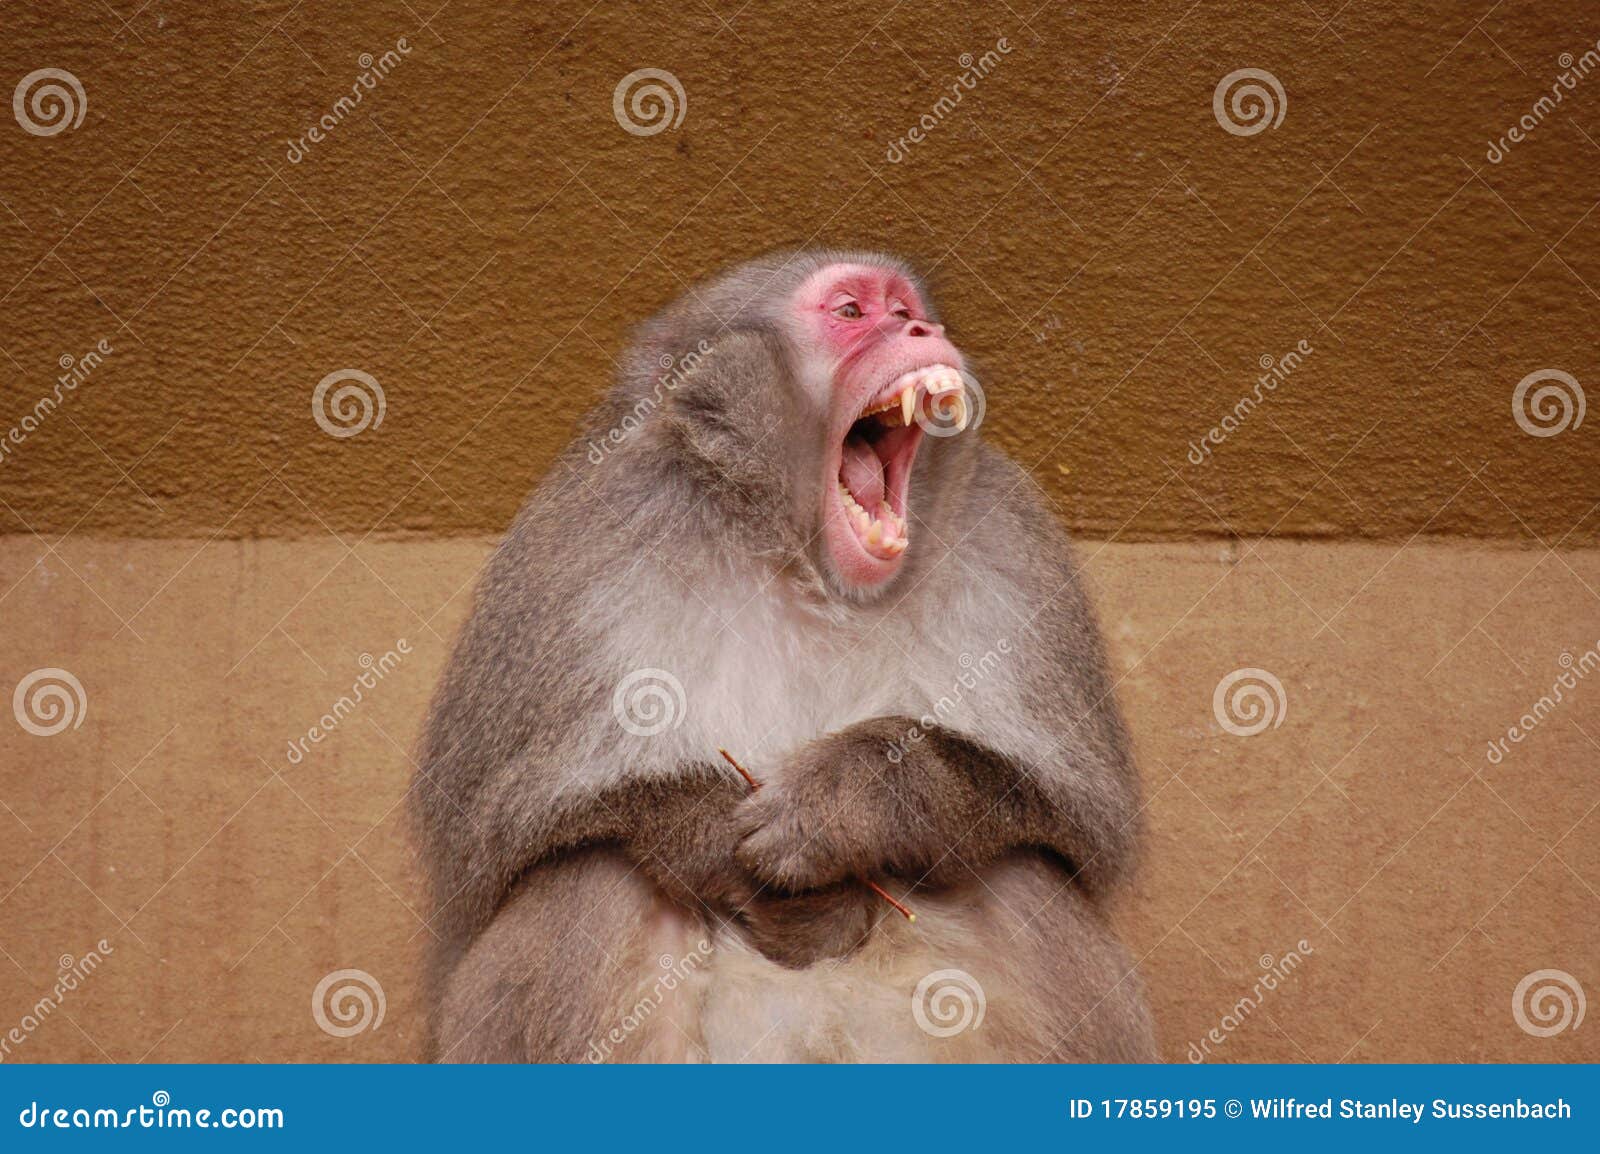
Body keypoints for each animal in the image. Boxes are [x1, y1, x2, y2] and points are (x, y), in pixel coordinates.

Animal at [410, 248, 1156, 1063]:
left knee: (1025, 878)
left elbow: (1083, 827)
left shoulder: (1013, 543)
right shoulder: (577, 542)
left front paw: (853, 799)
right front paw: (713, 838)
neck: (803, 565)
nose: (922, 330)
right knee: (589, 878)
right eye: (853, 313)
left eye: (906, 310)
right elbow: (486, 843)